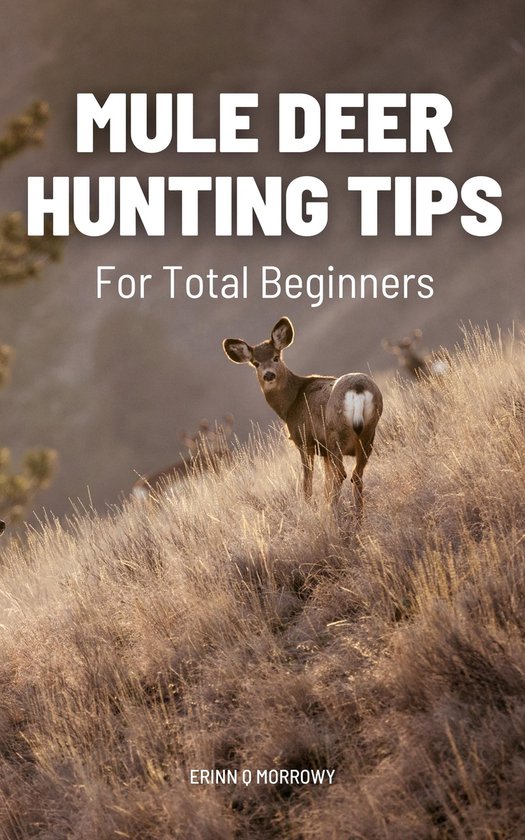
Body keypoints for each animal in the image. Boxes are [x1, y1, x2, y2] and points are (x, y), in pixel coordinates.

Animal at [223, 317, 383, 518]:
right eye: (255, 363)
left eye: (276, 357)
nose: (269, 375)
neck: (291, 403)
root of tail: (358, 389)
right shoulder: (324, 451)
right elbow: (326, 483)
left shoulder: (304, 440)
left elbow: (307, 483)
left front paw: (310, 507)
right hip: (368, 434)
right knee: (356, 475)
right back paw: (356, 516)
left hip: (335, 436)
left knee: (342, 474)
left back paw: (336, 514)